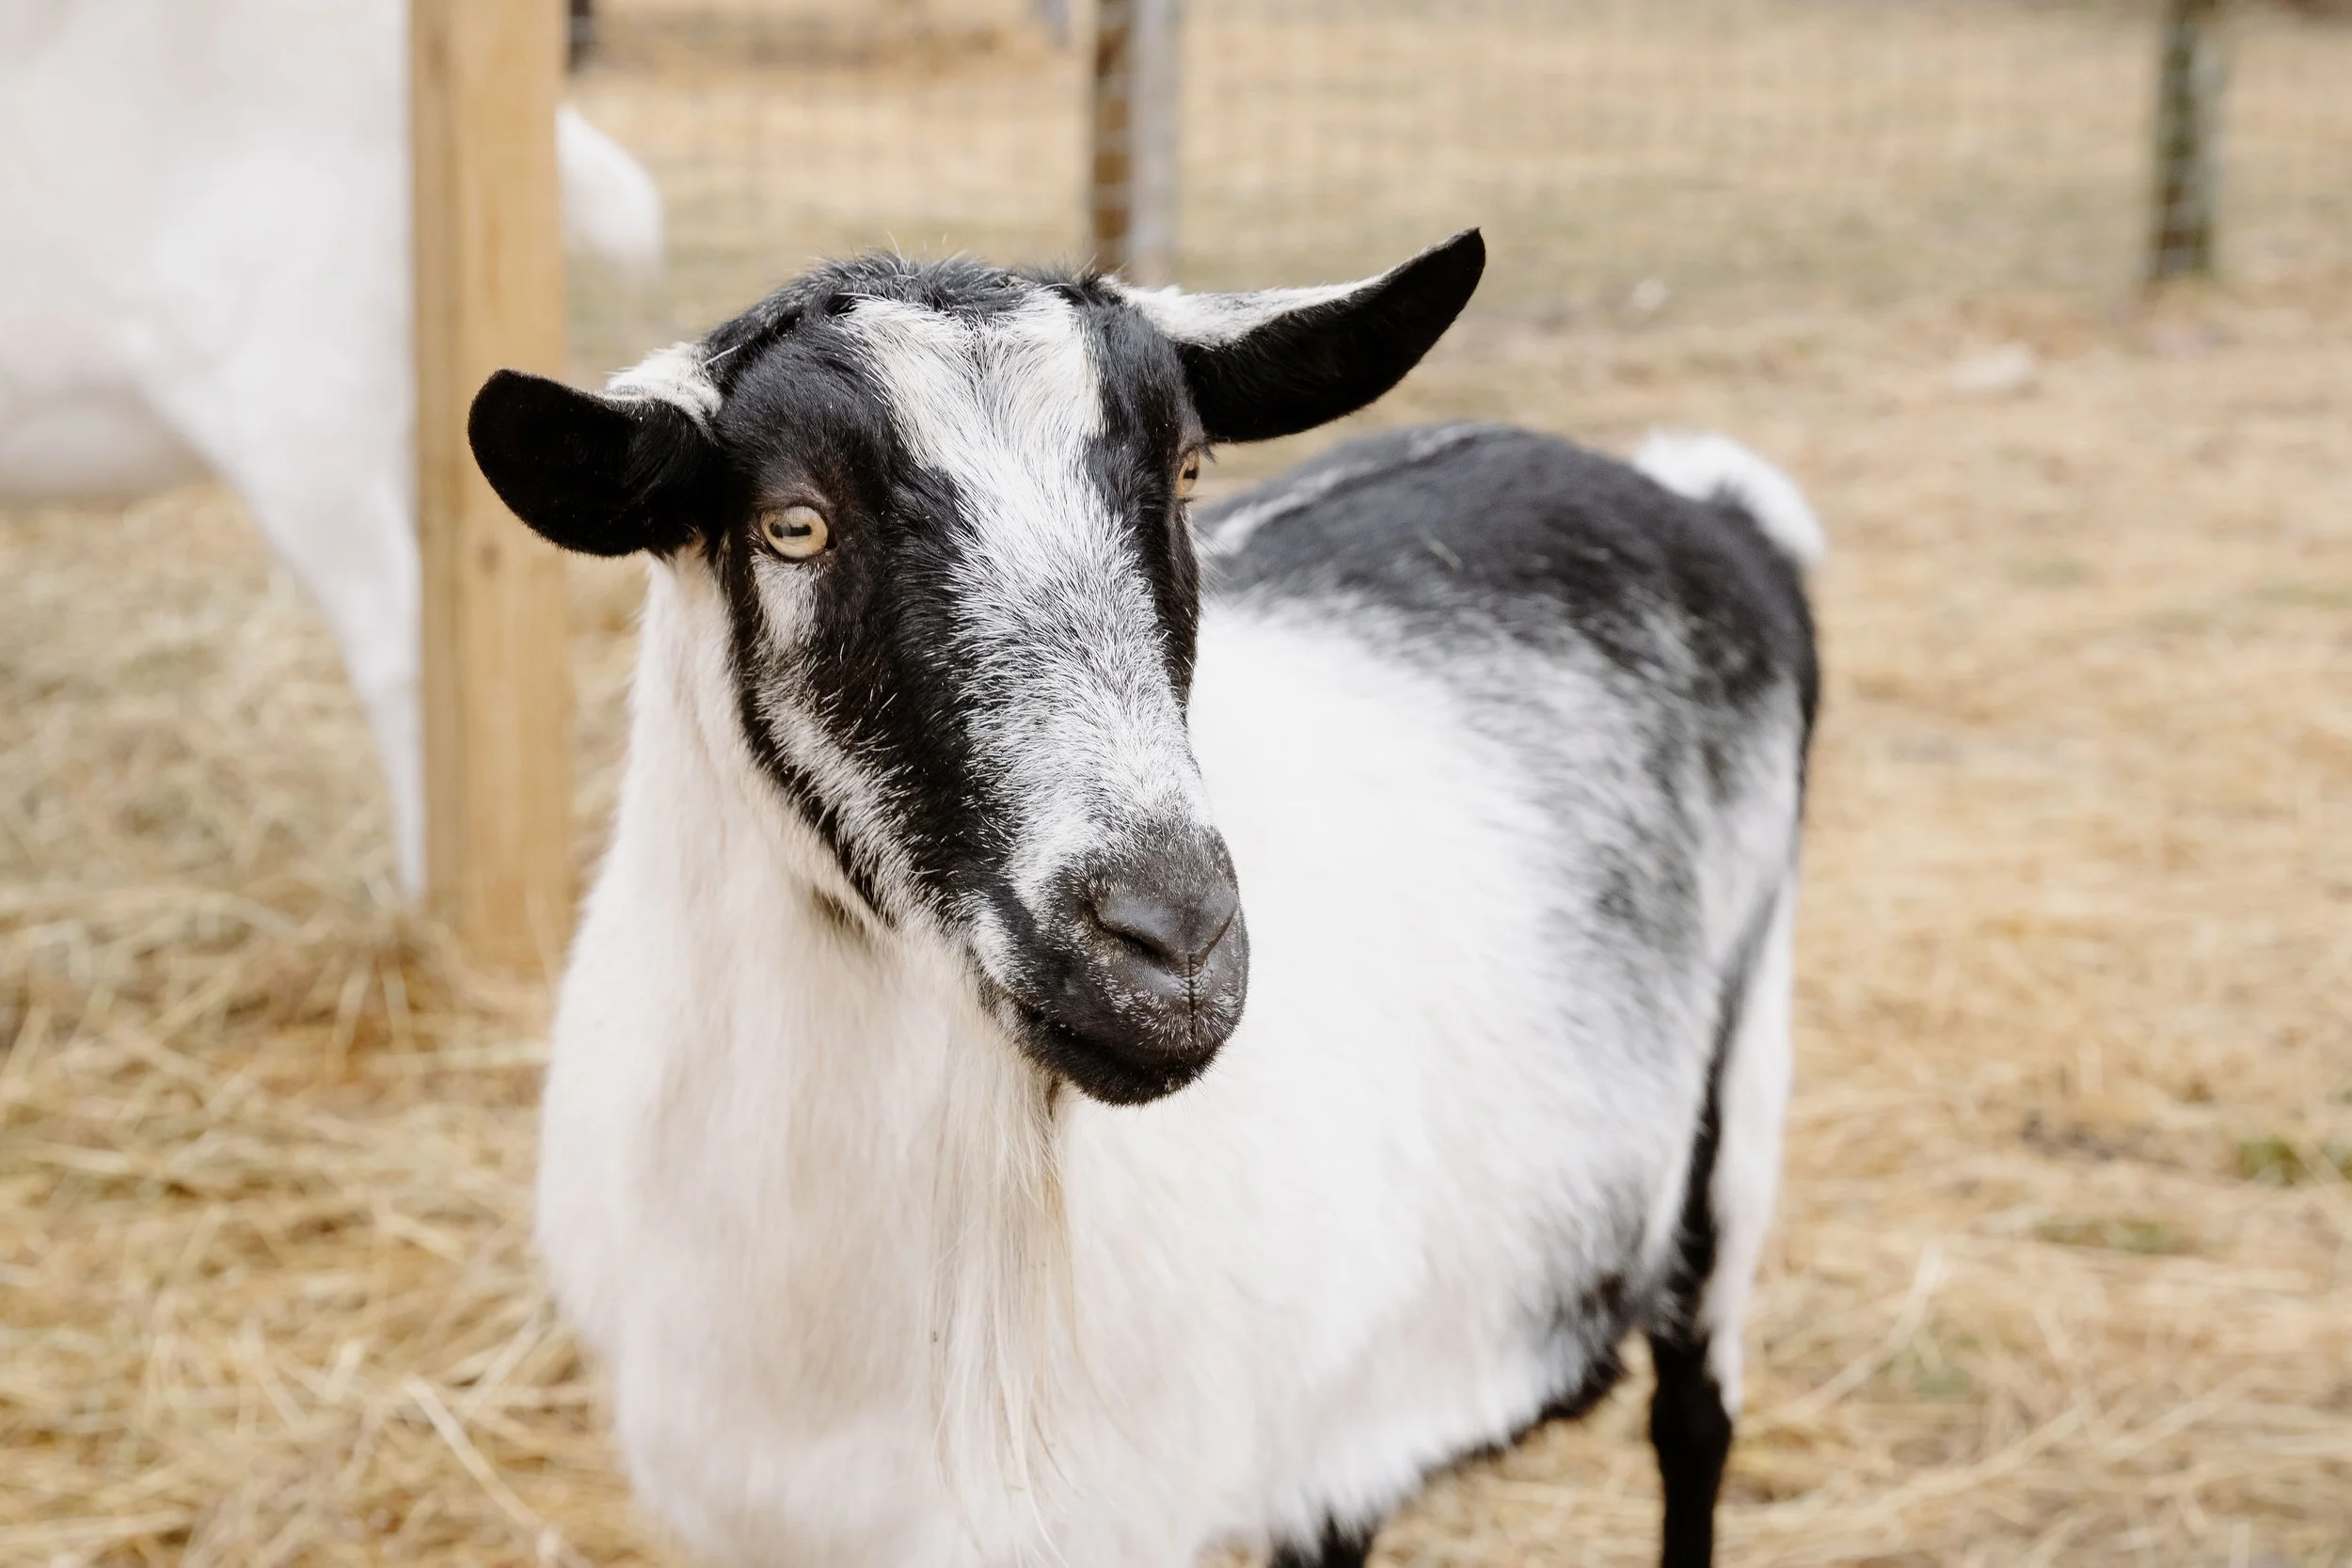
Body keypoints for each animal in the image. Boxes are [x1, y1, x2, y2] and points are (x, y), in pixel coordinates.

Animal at [468, 229, 1819, 1568]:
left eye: (1184, 470)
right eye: (792, 522)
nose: (1169, 946)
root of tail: (1705, 503)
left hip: (1742, 1090)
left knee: (1694, 1416)